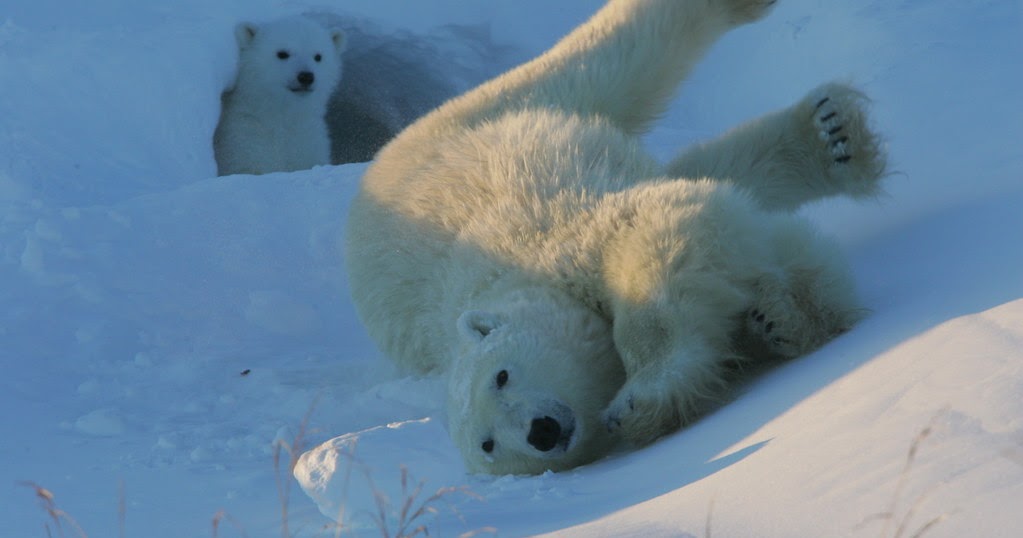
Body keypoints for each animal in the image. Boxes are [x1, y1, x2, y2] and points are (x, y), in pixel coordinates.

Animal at [344, 0, 887, 475]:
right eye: (489, 444)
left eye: (502, 375)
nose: (542, 430)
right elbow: (708, 216)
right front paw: (783, 316)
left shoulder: (545, 240)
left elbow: (646, 235)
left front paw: (639, 399)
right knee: (709, 168)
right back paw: (828, 135)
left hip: (483, 125)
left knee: (611, 62)